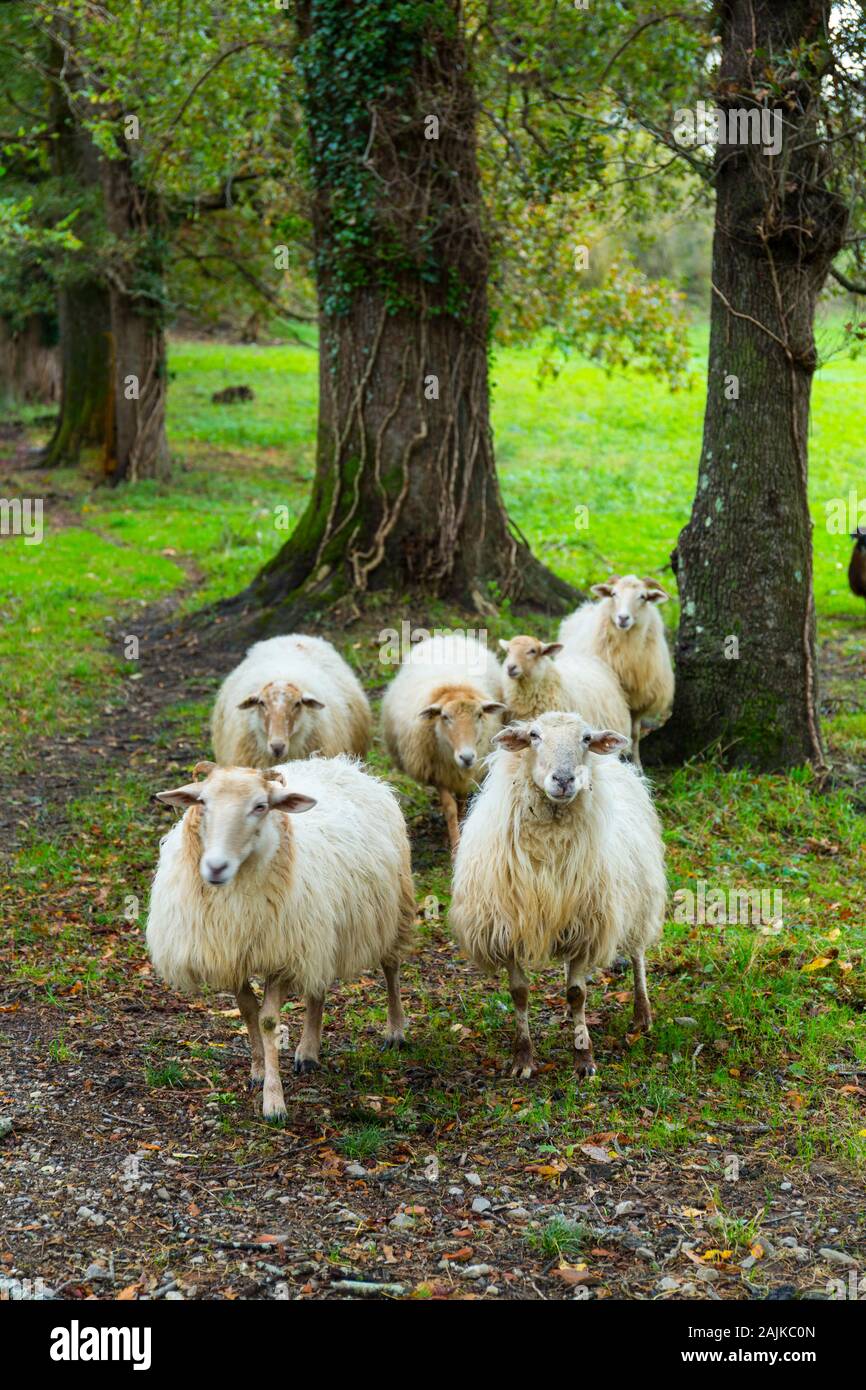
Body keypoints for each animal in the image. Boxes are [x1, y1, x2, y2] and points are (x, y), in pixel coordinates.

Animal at [146, 756, 415, 1122]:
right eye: (202, 802)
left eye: (260, 806)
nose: (215, 867)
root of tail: (341, 764)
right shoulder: (234, 952)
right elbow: (248, 1012)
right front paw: (259, 1071)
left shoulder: (283, 956)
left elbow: (268, 1020)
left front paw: (273, 1101)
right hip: (318, 933)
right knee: (317, 987)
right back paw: (309, 1051)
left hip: (390, 911)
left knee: (391, 969)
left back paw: (395, 1032)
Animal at [382, 633, 506, 852]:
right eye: (445, 717)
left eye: (479, 714)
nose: (467, 756)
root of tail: (448, 636)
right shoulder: (437, 770)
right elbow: (450, 808)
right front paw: (455, 845)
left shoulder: (466, 771)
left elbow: (462, 800)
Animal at [449, 711, 666, 1080]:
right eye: (534, 735)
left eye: (586, 738)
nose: (564, 779)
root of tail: (617, 765)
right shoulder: (510, 927)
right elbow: (520, 993)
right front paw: (522, 1059)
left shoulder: (589, 926)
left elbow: (577, 992)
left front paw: (584, 1058)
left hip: (638, 898)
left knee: (637, 953)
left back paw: (641, 1014)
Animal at [558, 575, 674, 769]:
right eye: (613, 594)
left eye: (643, 597)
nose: (623, 618)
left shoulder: (639, 701)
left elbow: (634, 734)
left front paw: (637, 765)